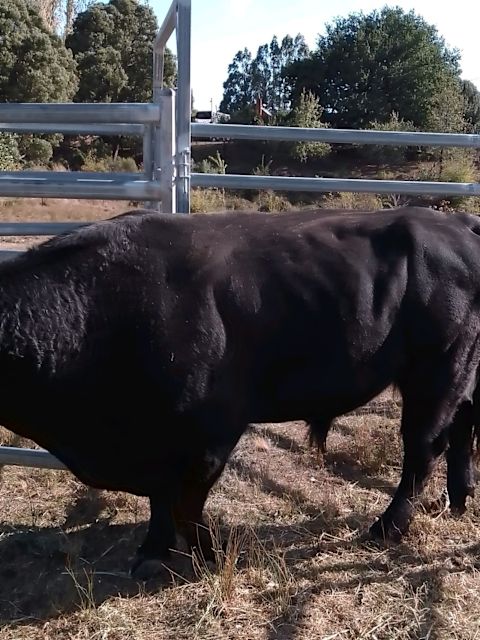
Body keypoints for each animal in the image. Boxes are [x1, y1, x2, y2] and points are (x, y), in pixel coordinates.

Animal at [1, 205, 480, 579]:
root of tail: (457, 222)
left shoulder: (208, 434)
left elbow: (186, 501)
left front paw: (206, 557)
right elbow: (162, 498)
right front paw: (152, 552)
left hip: (439, 369)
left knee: (423, 449)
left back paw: (388, 527)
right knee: (463, 425)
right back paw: (458, 498)